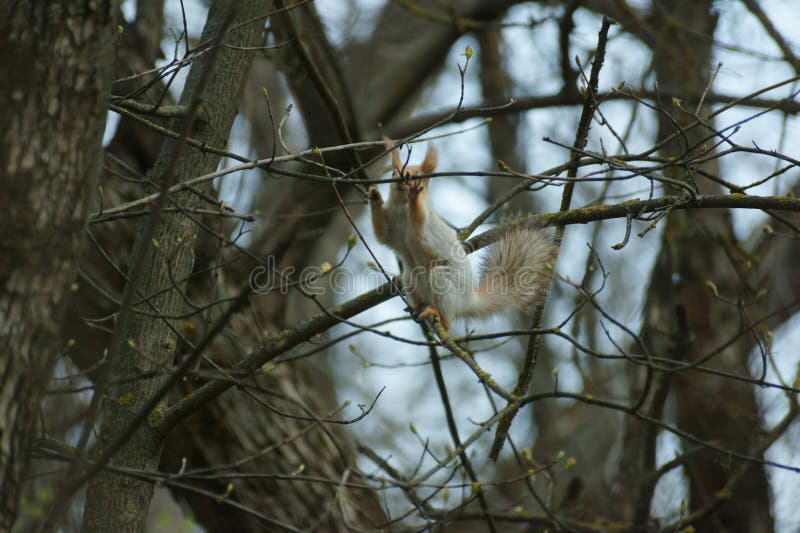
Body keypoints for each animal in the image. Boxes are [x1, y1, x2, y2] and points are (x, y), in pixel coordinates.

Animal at [368, 138, 557, 331]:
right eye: (393, 171)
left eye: (417, 175)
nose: (401, 182)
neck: (401, 206)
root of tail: (468, 303)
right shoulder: (392, 230)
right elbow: (382, 234)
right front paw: (374, 196)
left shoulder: (424, 226)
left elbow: (417, 225)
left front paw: (414, 195)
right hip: (409, 278)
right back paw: (416, 307)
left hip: (441, 284)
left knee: (447, 321)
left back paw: (438, 315)